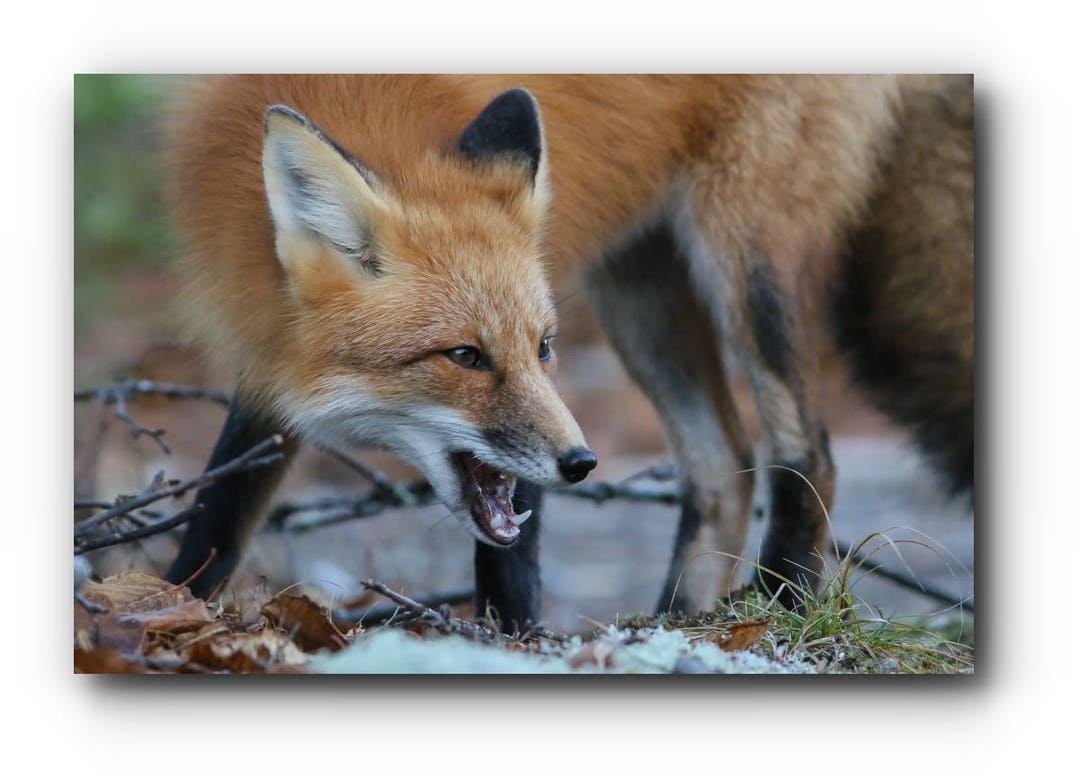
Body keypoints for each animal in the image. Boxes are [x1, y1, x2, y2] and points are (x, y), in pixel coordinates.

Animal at [163, 74, 973, 627]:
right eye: (465, 356)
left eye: (543, 346)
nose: (583, 464)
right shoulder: (267, 361)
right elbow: (217, 517)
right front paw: (173, 607)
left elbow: (514, 557)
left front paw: (512, 641)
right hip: (639, 291)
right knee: (723, 467)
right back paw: (678, 622)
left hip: (746, 255)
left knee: (806, 453)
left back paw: (777, 609)